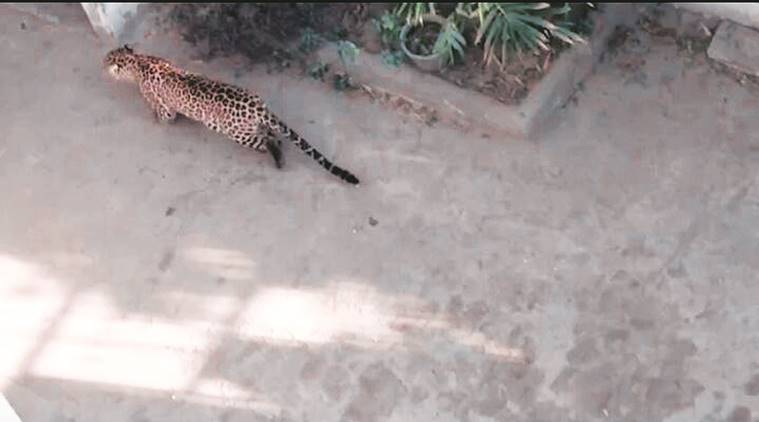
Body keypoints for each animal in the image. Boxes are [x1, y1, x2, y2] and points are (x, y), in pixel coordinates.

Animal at [103, 45, 360, 185]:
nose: (101, 62)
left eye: (106, 59)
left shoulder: (161, 105)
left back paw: (278, 160)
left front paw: (155, 120)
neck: (137, 61)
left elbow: (163, 115)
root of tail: (258, 106)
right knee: (271, 133)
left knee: (270, 141)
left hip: (236, 133)